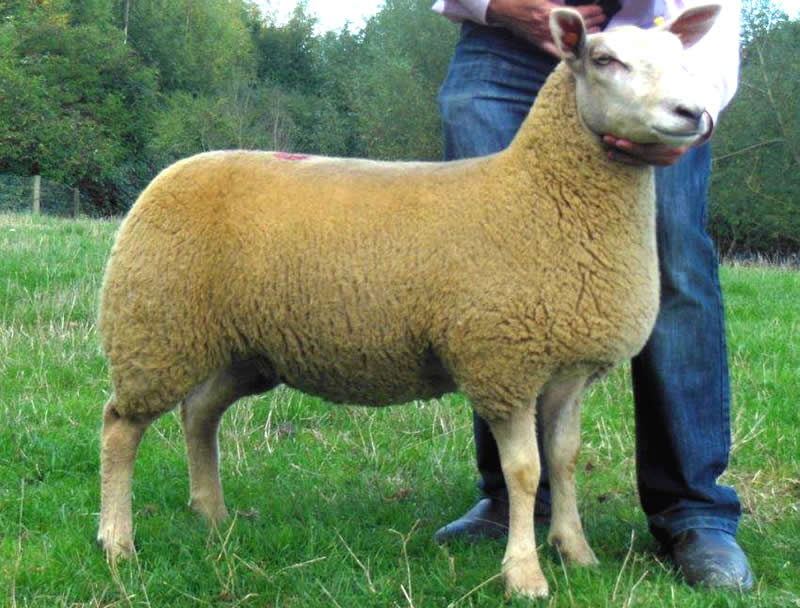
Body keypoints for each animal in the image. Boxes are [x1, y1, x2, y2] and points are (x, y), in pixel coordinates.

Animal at [96, 6, 721, 599]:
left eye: (683, 58)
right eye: (604, 59)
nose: (693, 115)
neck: (538, 194)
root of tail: (174, 171)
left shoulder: (569, 370)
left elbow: (564, 460)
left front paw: (577, 552)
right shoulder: (504, 365)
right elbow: (524, 472)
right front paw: (524, 573)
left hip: (244, 350)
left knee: (199, 414)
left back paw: (212, 515)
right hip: (154, 327)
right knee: (120, 426)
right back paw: (117, 540)